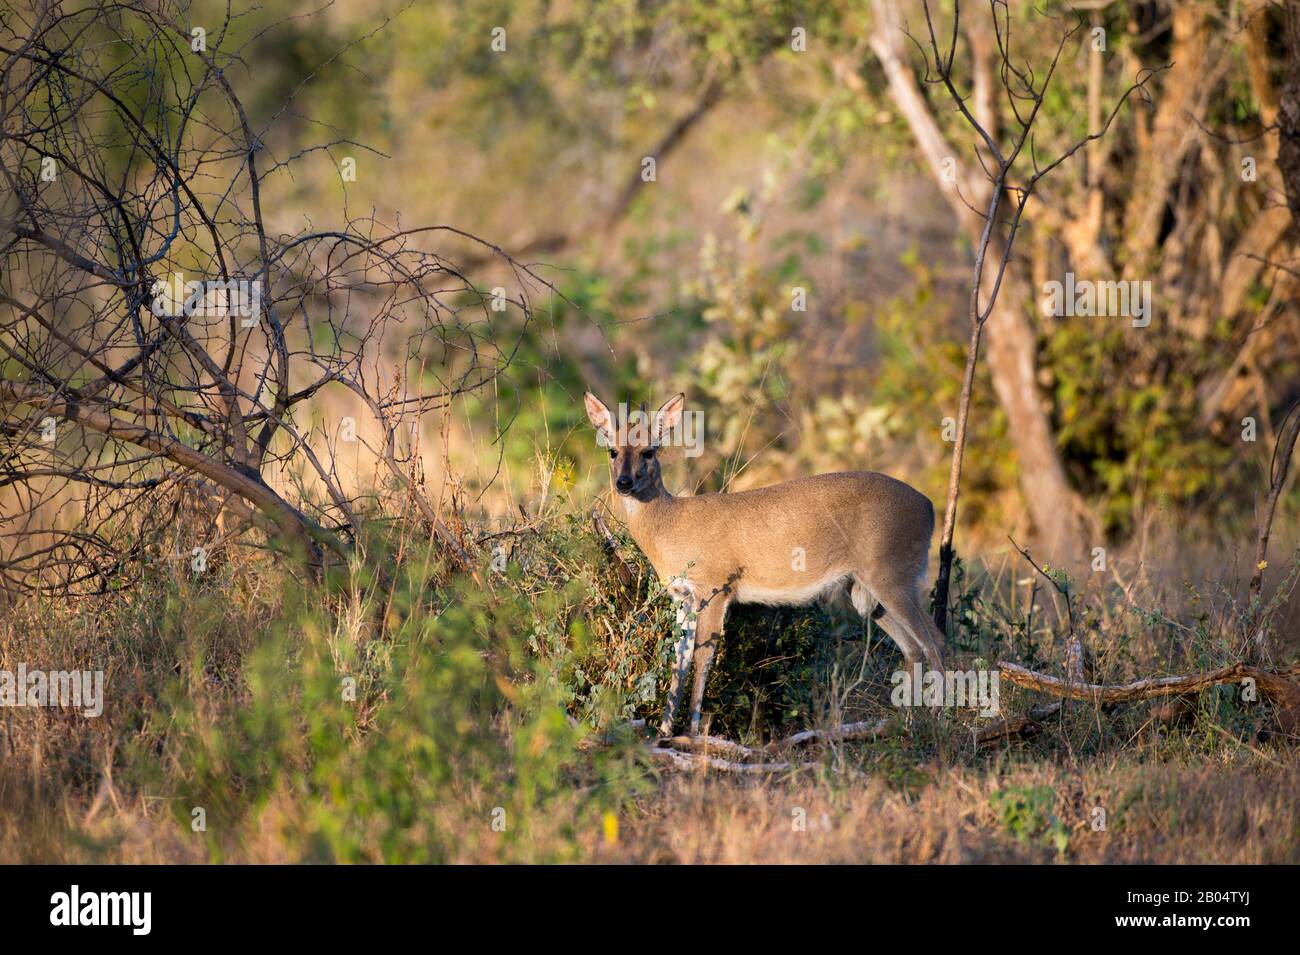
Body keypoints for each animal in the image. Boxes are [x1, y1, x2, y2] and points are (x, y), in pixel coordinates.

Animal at [584, 391, 945, 738]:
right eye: (613, 451)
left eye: (649, 451)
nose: (624, 483)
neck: (671, 526)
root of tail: (929, 507)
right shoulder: (683, 597)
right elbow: (679, 660)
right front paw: (662, 731)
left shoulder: (715, 587)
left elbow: (703, 657)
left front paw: (690, 732)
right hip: (867, 590)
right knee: (912, 648)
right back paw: (906, 723)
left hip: (893, 574)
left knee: (934, 639)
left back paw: (939, 723)